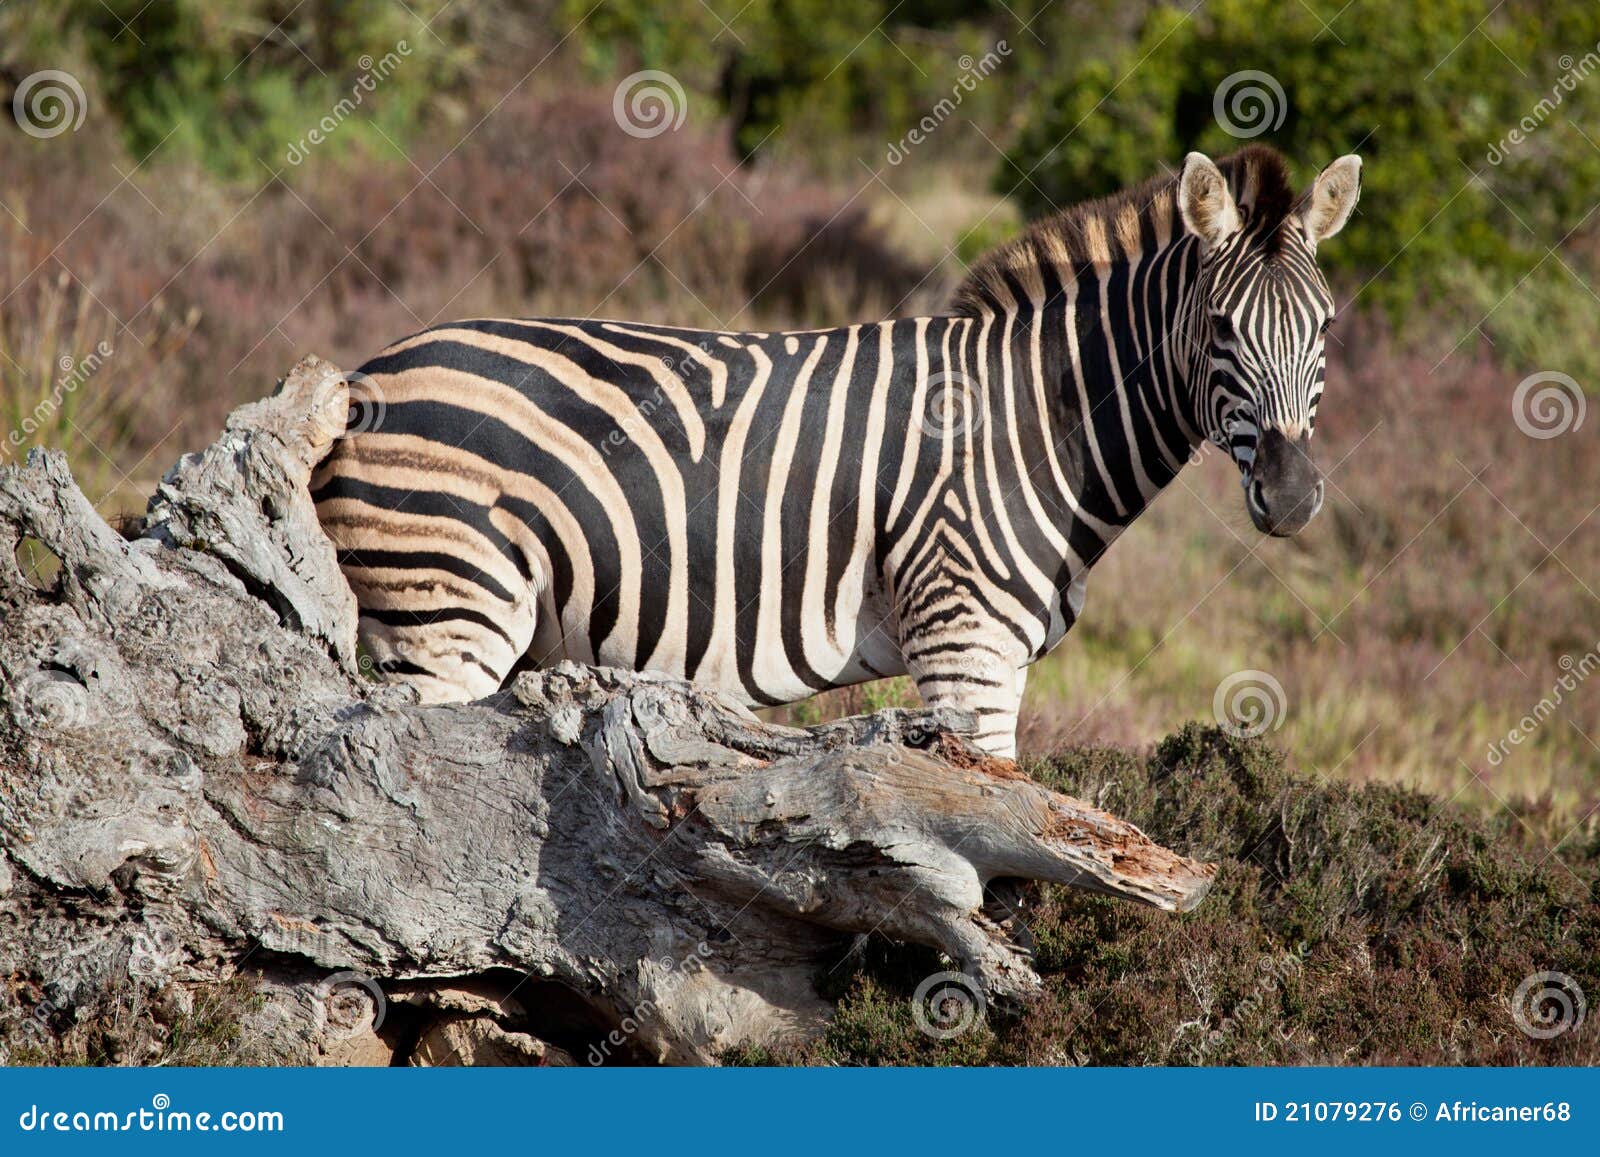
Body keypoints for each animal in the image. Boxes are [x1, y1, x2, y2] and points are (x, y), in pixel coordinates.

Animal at [311, 145, 1361, 757]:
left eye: (1326, 327)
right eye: (1220, 328)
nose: (1293, 497)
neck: (1037, 423)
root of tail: (361, 379)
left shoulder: (997, 661)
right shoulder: (964, 650)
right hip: (448, 618)